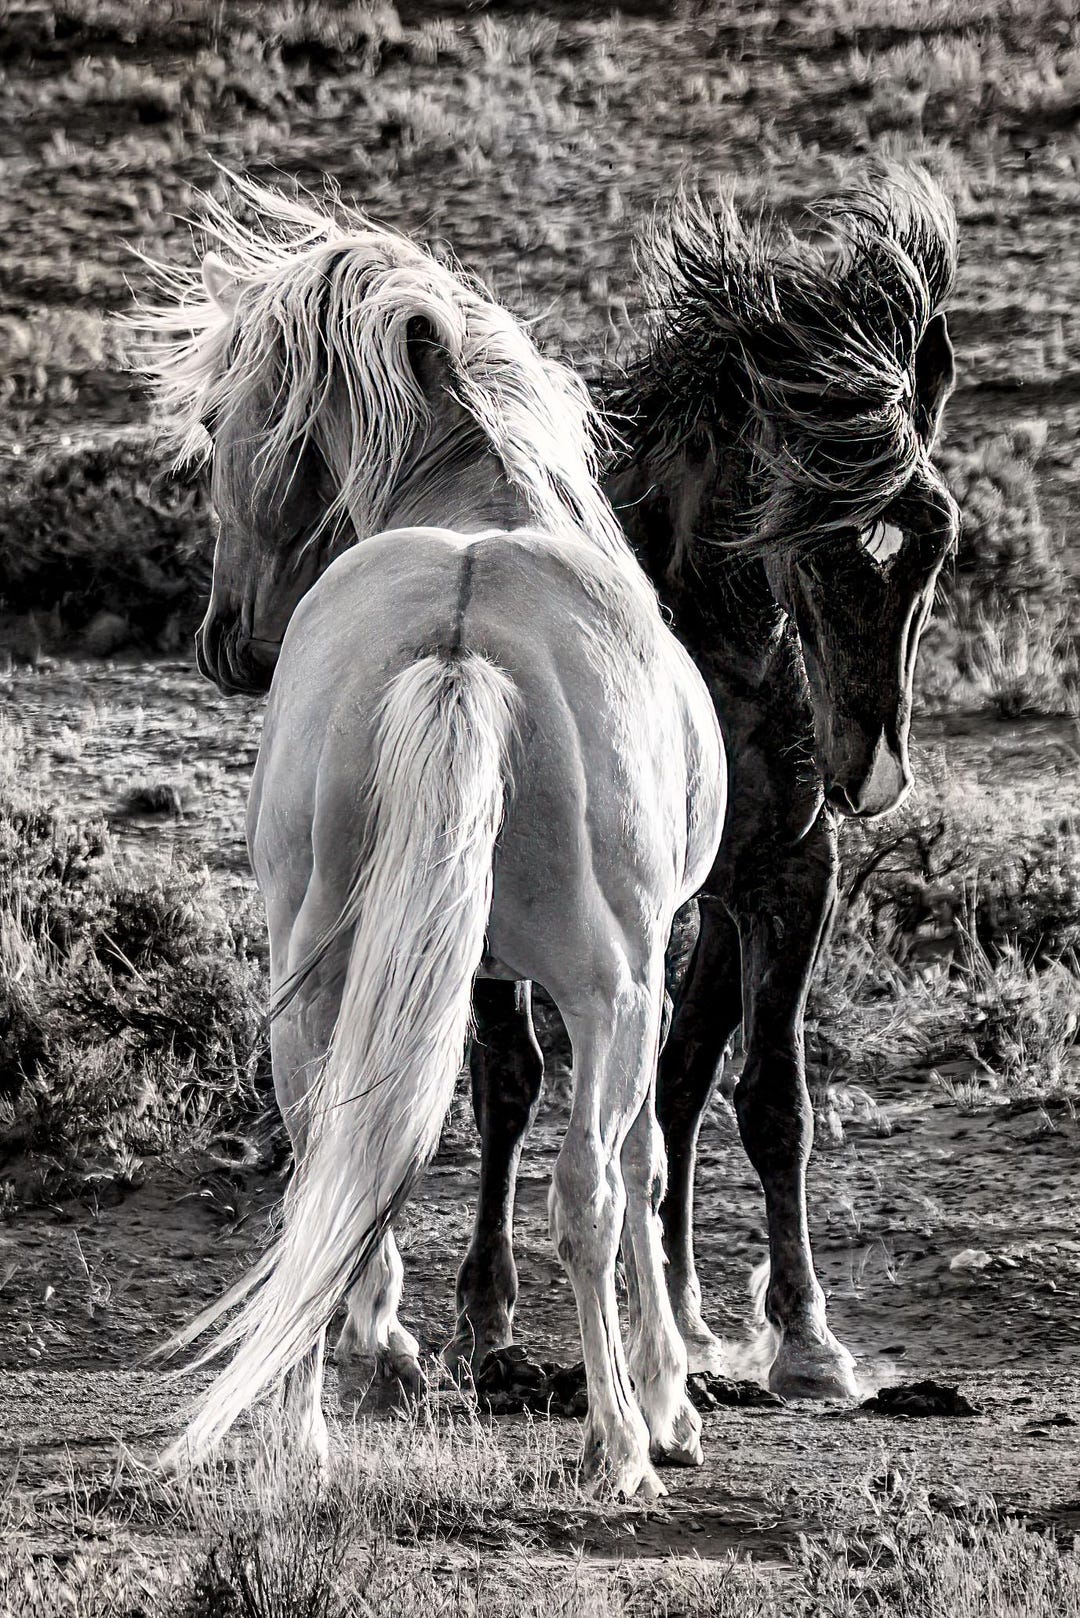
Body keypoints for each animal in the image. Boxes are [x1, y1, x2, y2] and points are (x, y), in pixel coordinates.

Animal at [131, 176, 725, 1499]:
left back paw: (302, 1425)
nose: (225, 639)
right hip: (608, 987)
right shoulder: (654, 967)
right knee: (590, 1187)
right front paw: (670, 1396)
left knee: (327, 1162)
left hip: (313, 974)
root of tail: (459, 643)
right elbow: (649, 1166)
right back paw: (620, 1443)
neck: (482, 498)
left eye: (220, 416)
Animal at [451, 168, 961, 1401]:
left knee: (671, 1078)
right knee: (505, 1078)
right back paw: (485, 1316)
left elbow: (762, 1096)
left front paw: (803, 1340)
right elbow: (562, 1084)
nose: (868, 770)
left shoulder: (785, 879)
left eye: (934, 542)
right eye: (806, 535)